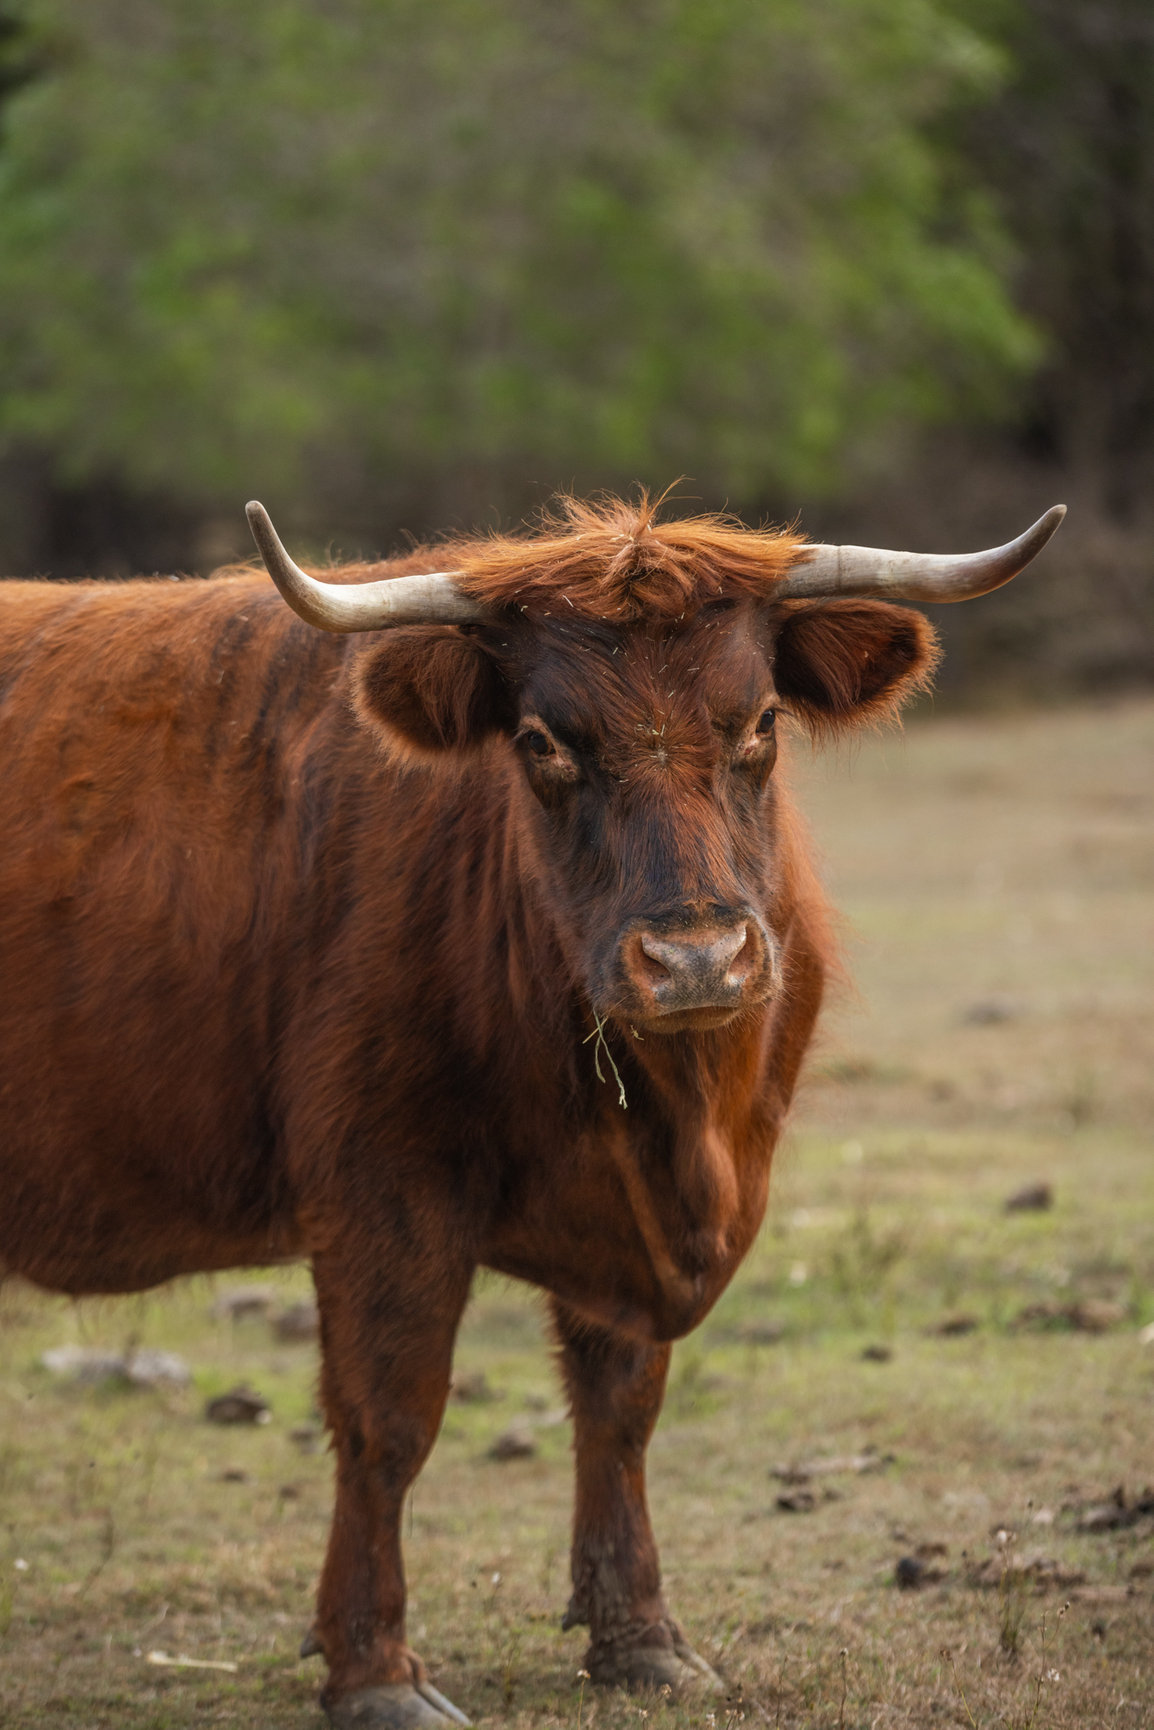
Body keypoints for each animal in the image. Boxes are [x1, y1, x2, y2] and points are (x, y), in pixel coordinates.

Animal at [0, 492, 1064, 1728]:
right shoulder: (382, 1192)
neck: (677, 1129)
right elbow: (389, 1417)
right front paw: (375, 1668)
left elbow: (621, 1406)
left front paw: (640, 1637)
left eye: (758, 721)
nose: (694, 958)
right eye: (546, 740)